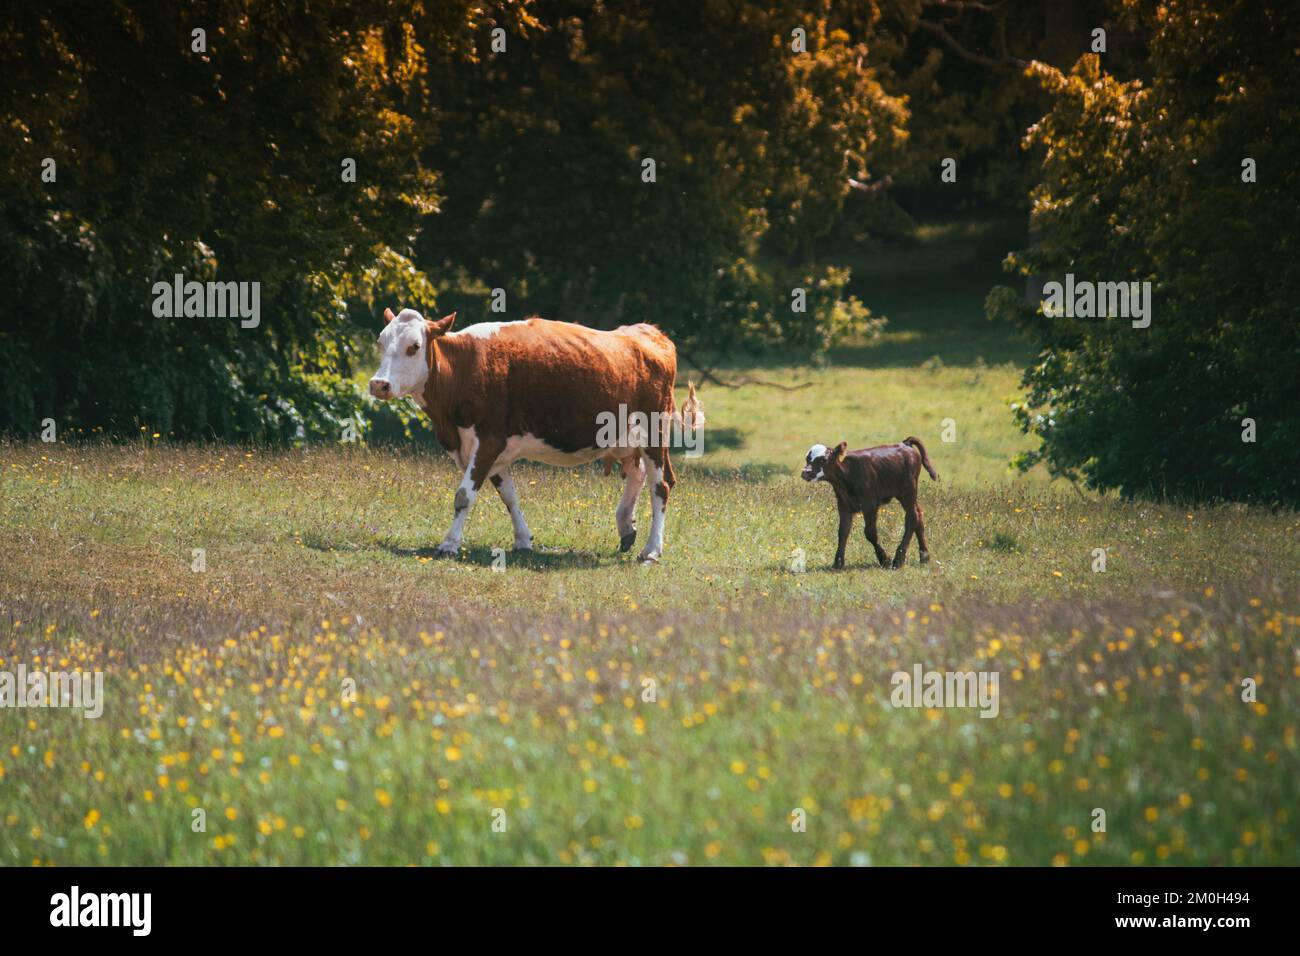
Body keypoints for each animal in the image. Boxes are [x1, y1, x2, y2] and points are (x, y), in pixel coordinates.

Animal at [368, 307, 703, 563]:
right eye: (381, 341)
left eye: (414, 346)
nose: (378, 384)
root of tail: (648, 332)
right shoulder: (495, 451)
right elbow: (509, 496)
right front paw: (523, 540)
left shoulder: (487, 441)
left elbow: (464, 496)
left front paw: (449, 544)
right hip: (624, 438)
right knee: (637, 474)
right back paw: (626, 528)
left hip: (654, 432)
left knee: (661, 485)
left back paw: (651, 550)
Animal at [801, 437, 939, 570]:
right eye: (807, 458)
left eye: (823, 459)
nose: (805, 472)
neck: (848, 474)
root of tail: (905, 444)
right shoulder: (844, 504)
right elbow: (843, 531)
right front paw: (838, 563)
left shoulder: (870, 504)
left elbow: (870, 533)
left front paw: (884, 560)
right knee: (919, 514)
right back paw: (924, 557)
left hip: (908, 491)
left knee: (912, 517)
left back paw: (898, 560)